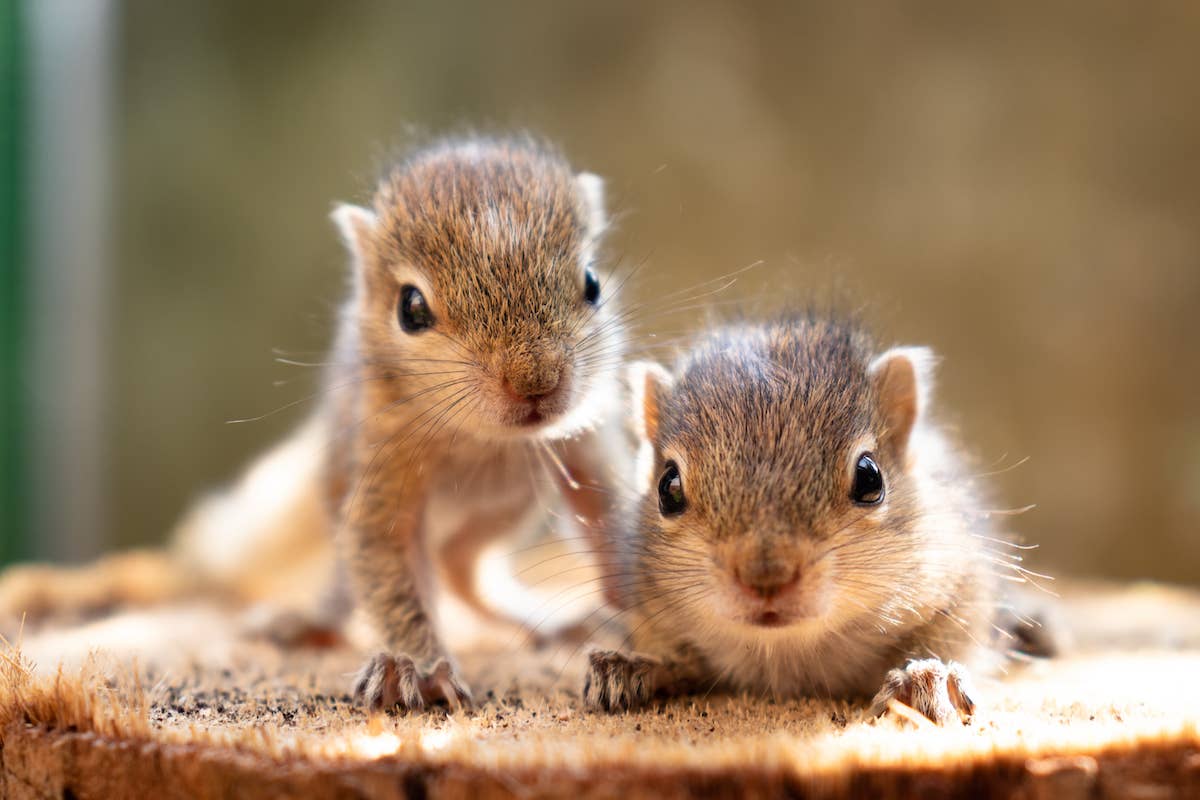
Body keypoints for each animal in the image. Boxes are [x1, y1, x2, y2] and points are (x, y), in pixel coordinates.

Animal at [1, 137, 633, 711]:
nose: (536, 383)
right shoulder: (382, 463)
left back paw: (550, 622)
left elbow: (611, 522)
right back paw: (320, 625)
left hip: (500, 511)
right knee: (384, 583)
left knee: (463, 569)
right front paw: (419, 668)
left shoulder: (587, 443)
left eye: (592, 282)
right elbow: (387, 570)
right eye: (411, 308)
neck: (486, 439)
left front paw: (634, 633)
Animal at [584, 313, 1049, 724]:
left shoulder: (962, 585)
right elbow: (677, 660)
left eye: (870, 477)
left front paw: (928, 678)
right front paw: (629, 666)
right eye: (668, 488)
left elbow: (951, 641)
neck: (783, 651)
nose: (765, 577)